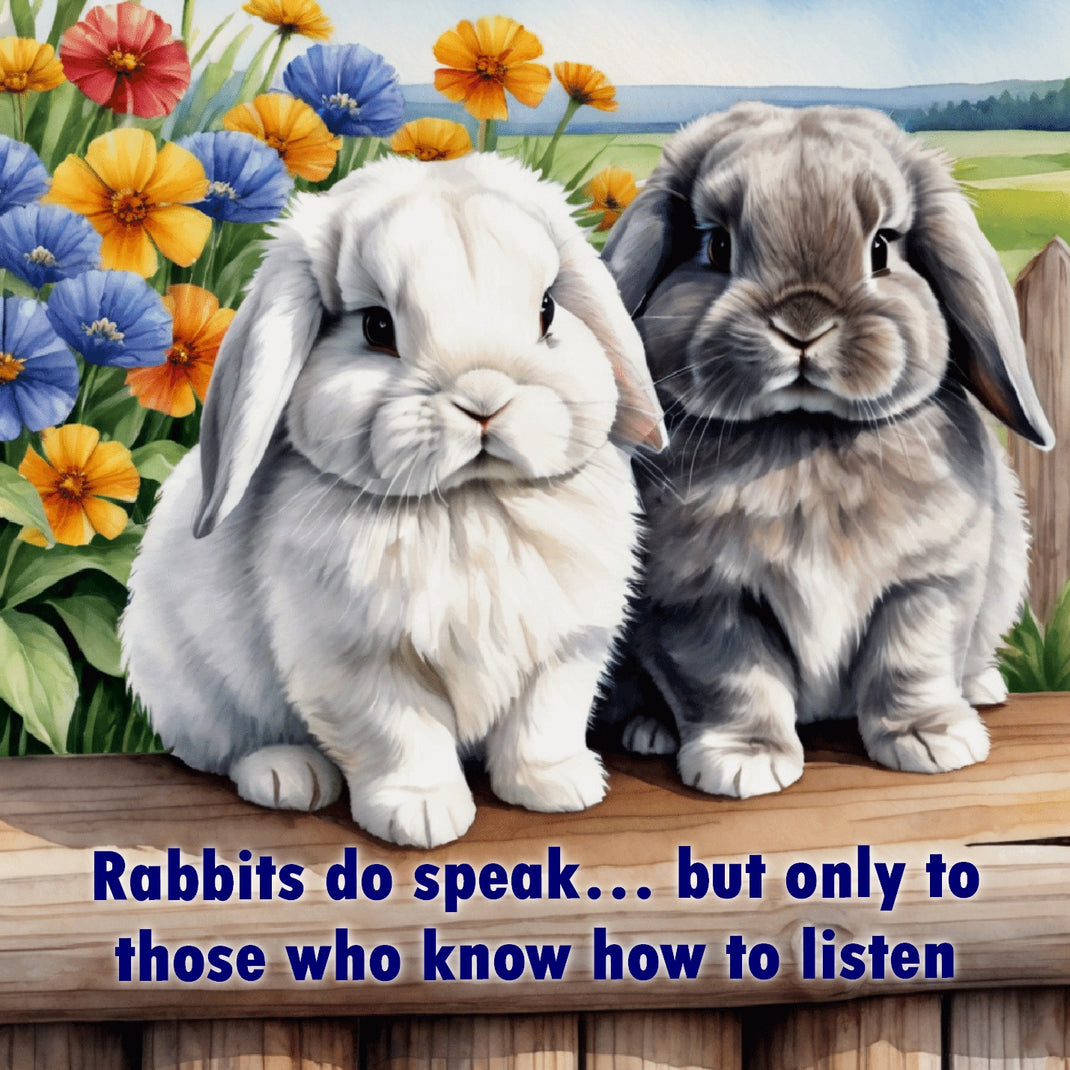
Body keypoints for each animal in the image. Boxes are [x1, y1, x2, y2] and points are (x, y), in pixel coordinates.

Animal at [121, 152, 666, 848]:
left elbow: (543, 719)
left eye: (547, 309)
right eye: (377, 326)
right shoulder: (357, 663)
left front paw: (559, 789)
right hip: (194, 688)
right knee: (225, 748)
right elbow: (401, 733)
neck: (469, 505)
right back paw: (288, 776)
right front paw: (422, 817)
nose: (484, 399)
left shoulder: (568, 648)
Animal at [594, 102, 1053, 799]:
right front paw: (744, 761)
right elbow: (733, 680)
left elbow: (910, 663)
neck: (805, 439)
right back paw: (649, 730)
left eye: (883, 247)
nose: (803, 322)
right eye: (716, 245)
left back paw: (980, 689)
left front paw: (931, 741)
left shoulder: (929, 583)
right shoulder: (700, 602)